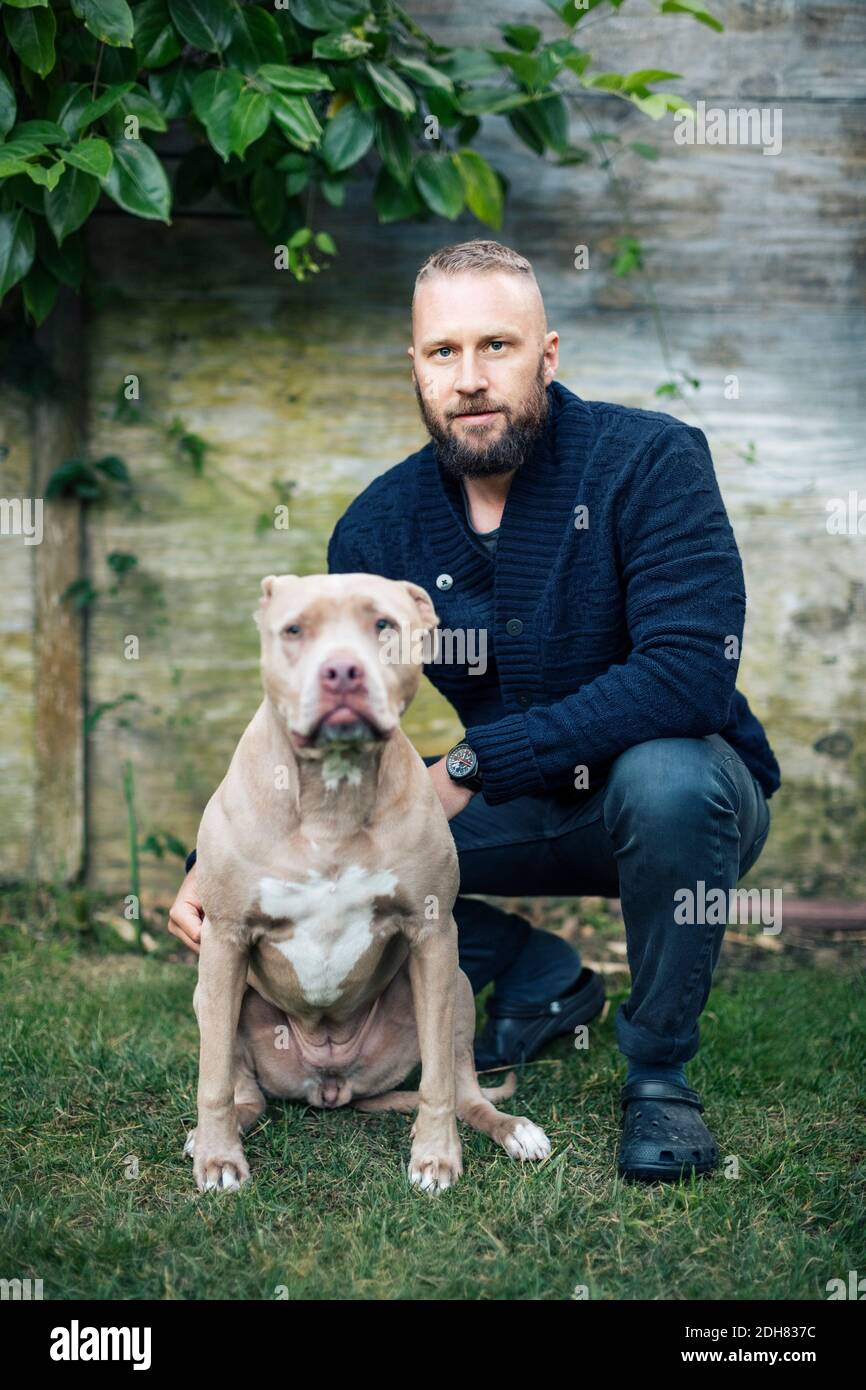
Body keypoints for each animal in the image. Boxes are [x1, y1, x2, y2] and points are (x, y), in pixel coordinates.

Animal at [184, 575, 547, 1195]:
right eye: (293, 629)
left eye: (383, 624)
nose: (342, 672)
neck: (332, 795)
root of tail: (331, 1085)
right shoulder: (224, 939)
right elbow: (212, 1081)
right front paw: (217, 1159)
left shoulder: (433, 935)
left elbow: (438, 1083)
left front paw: (435, 1156)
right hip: (212, 995)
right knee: (242, 1090)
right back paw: (219, 1133)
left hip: (458, 987)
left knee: (464, 1088)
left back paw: (511, 1128)